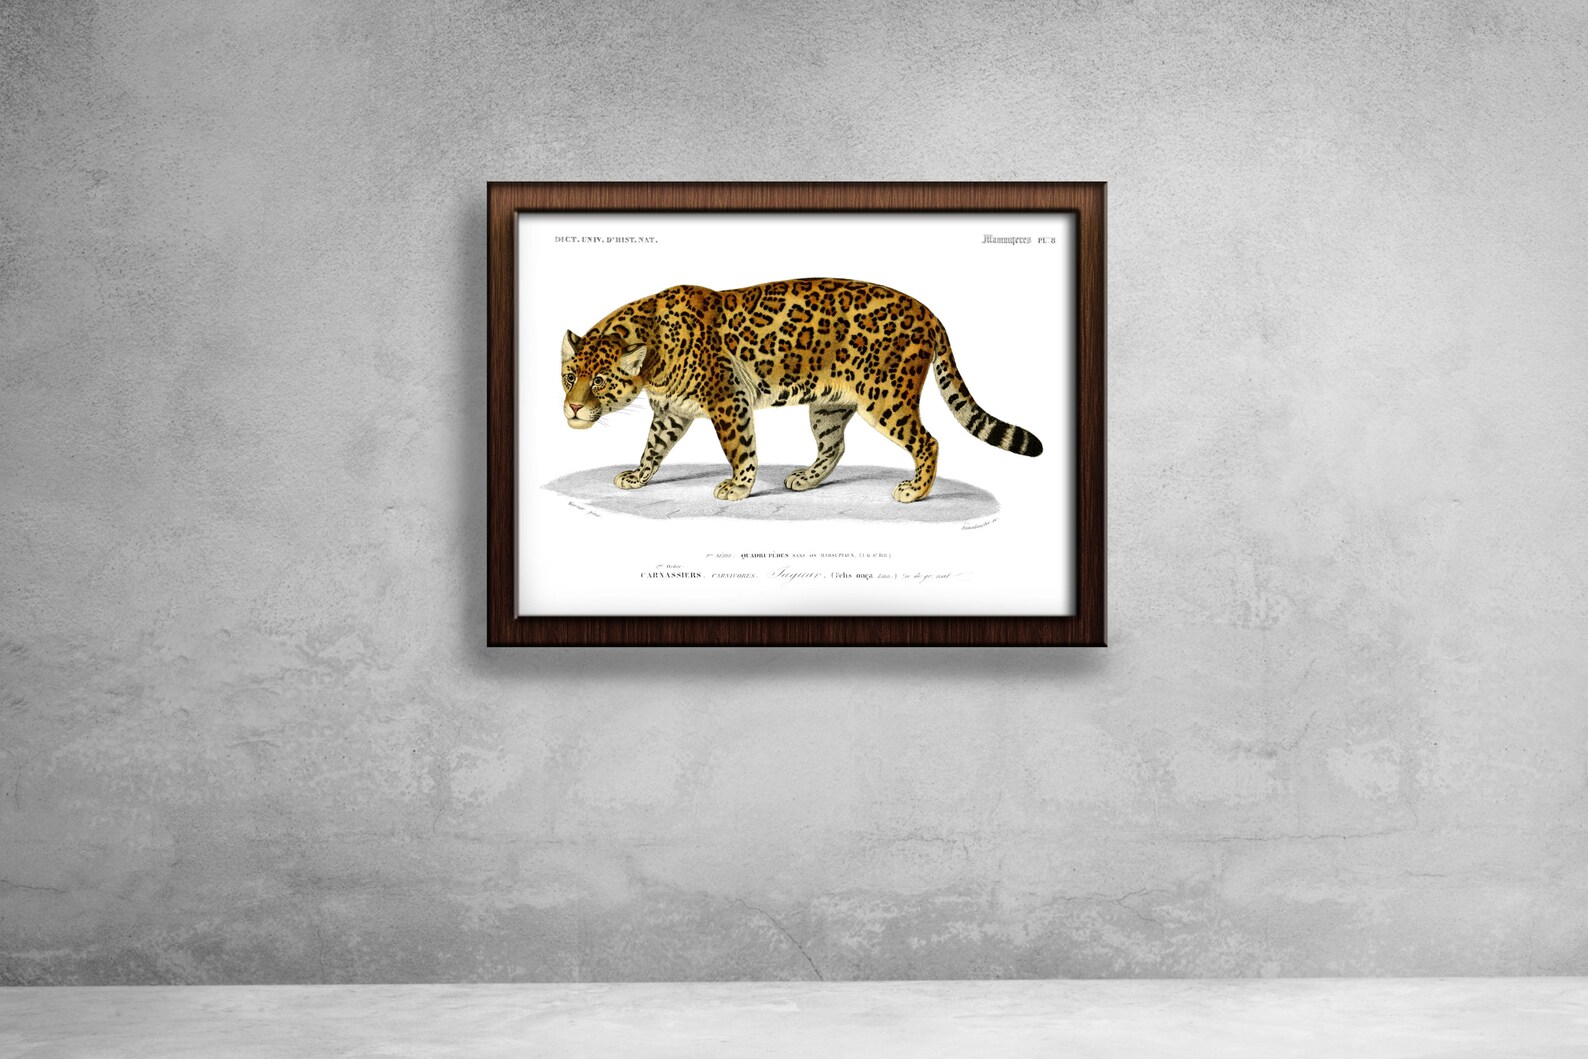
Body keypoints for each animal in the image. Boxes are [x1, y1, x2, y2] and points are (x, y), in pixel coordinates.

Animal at [559, 278, 1042, 503]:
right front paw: (637, 477)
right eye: (570, 377)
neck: (653, 356)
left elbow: (740, 448)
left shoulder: (728, 400)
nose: (573, 409)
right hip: (828, 406)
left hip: (885, 397)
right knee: (835, 446)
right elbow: (653, 447)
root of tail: (930, 314)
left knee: (929, 441)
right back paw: (806, 479)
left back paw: (914, 491)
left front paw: (739, 487)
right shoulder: (671, 411)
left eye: (599, 381)